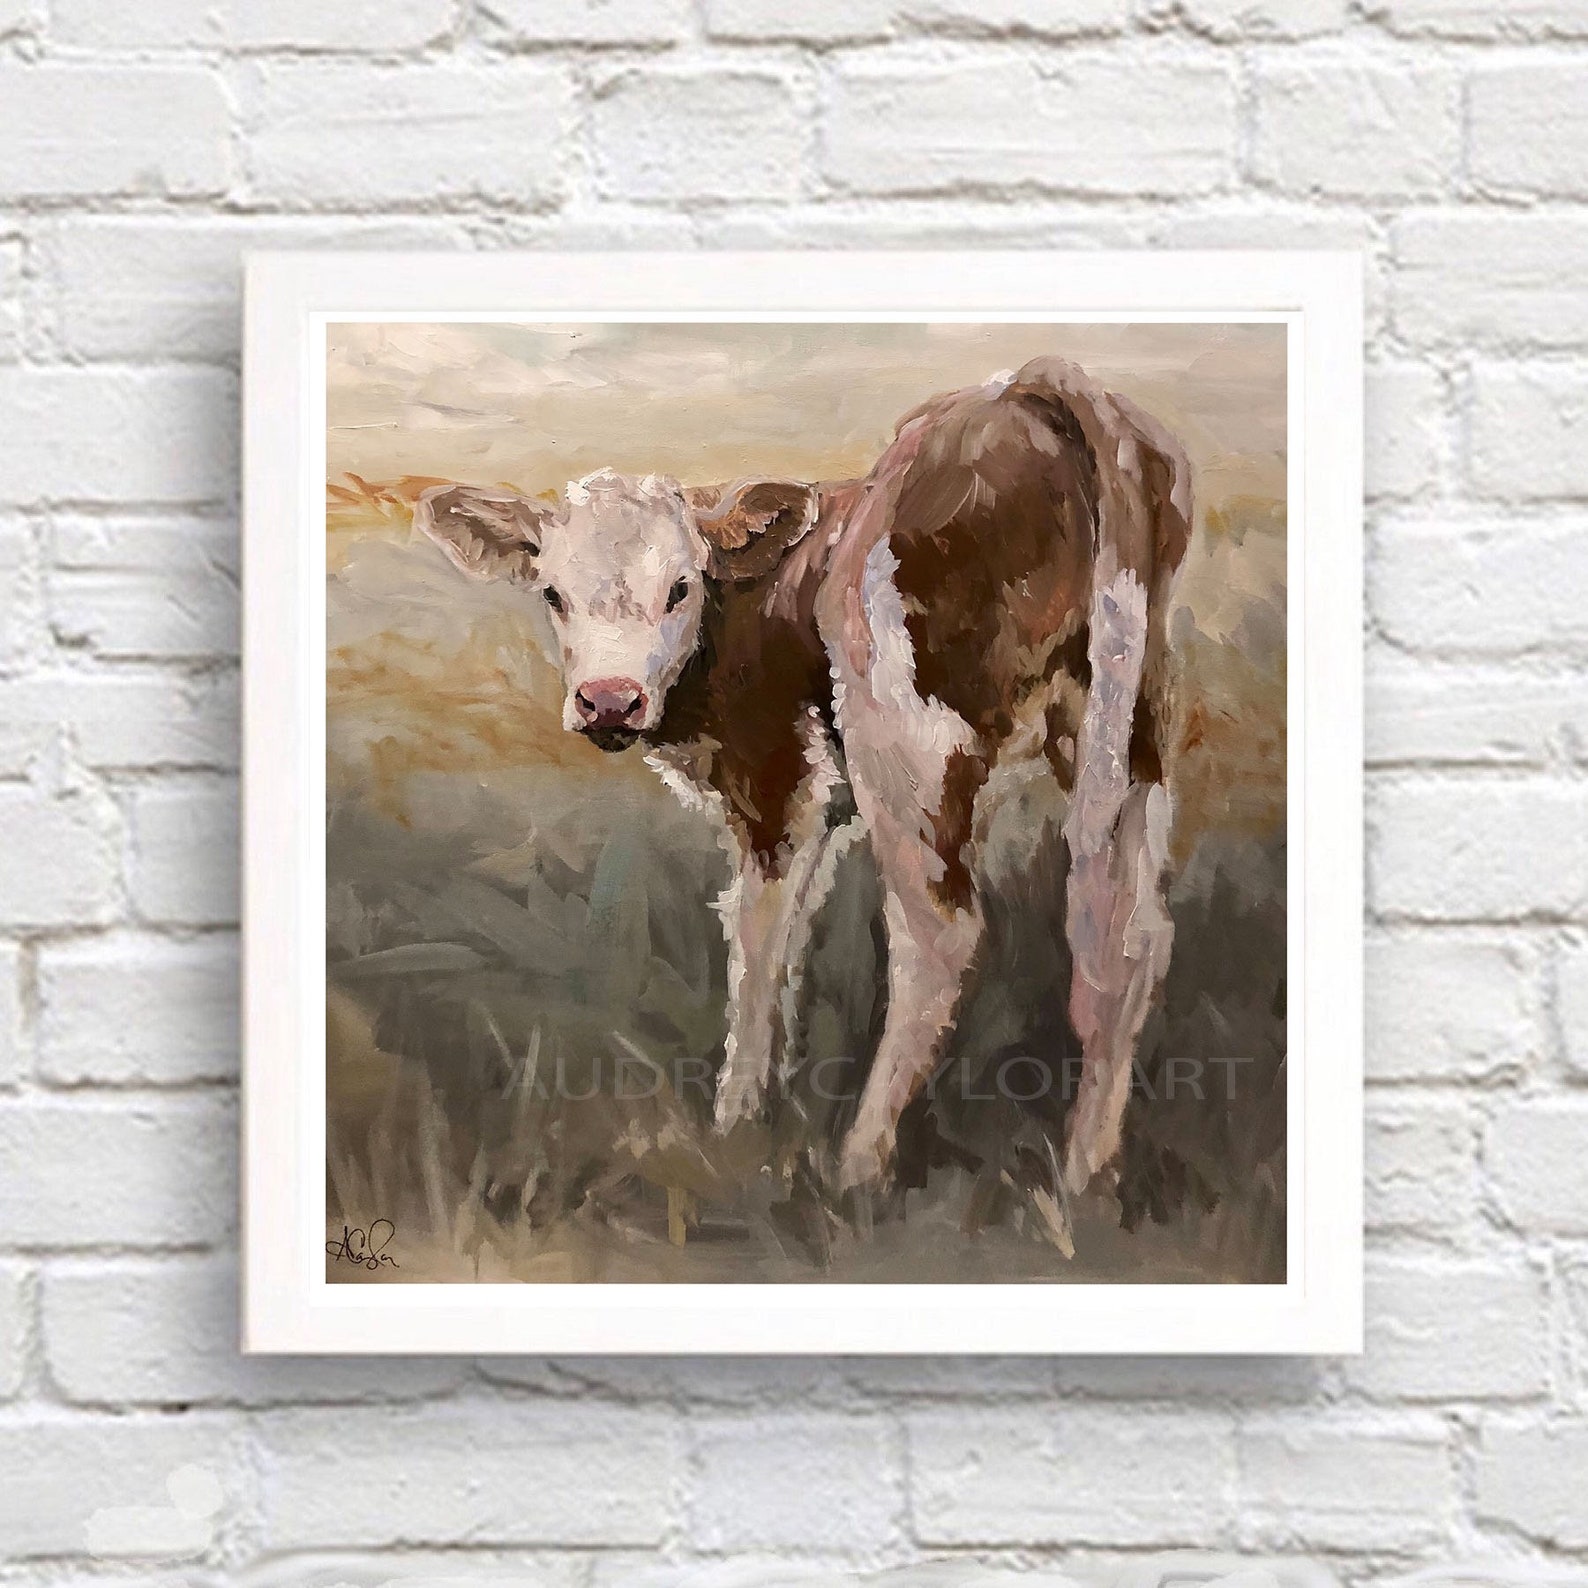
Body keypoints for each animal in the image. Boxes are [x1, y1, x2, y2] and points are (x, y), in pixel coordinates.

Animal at [412, 355, 1191, 1203]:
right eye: (552, 593)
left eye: (680, 587)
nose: (609, 700)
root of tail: (1028, 389)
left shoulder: (777, 781)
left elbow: (757, 937)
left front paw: (736, 1122)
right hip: (1128, 731)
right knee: (1123, 931)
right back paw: (1087, 1176)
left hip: (907, 745)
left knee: (939, 936)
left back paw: (858, 1166)